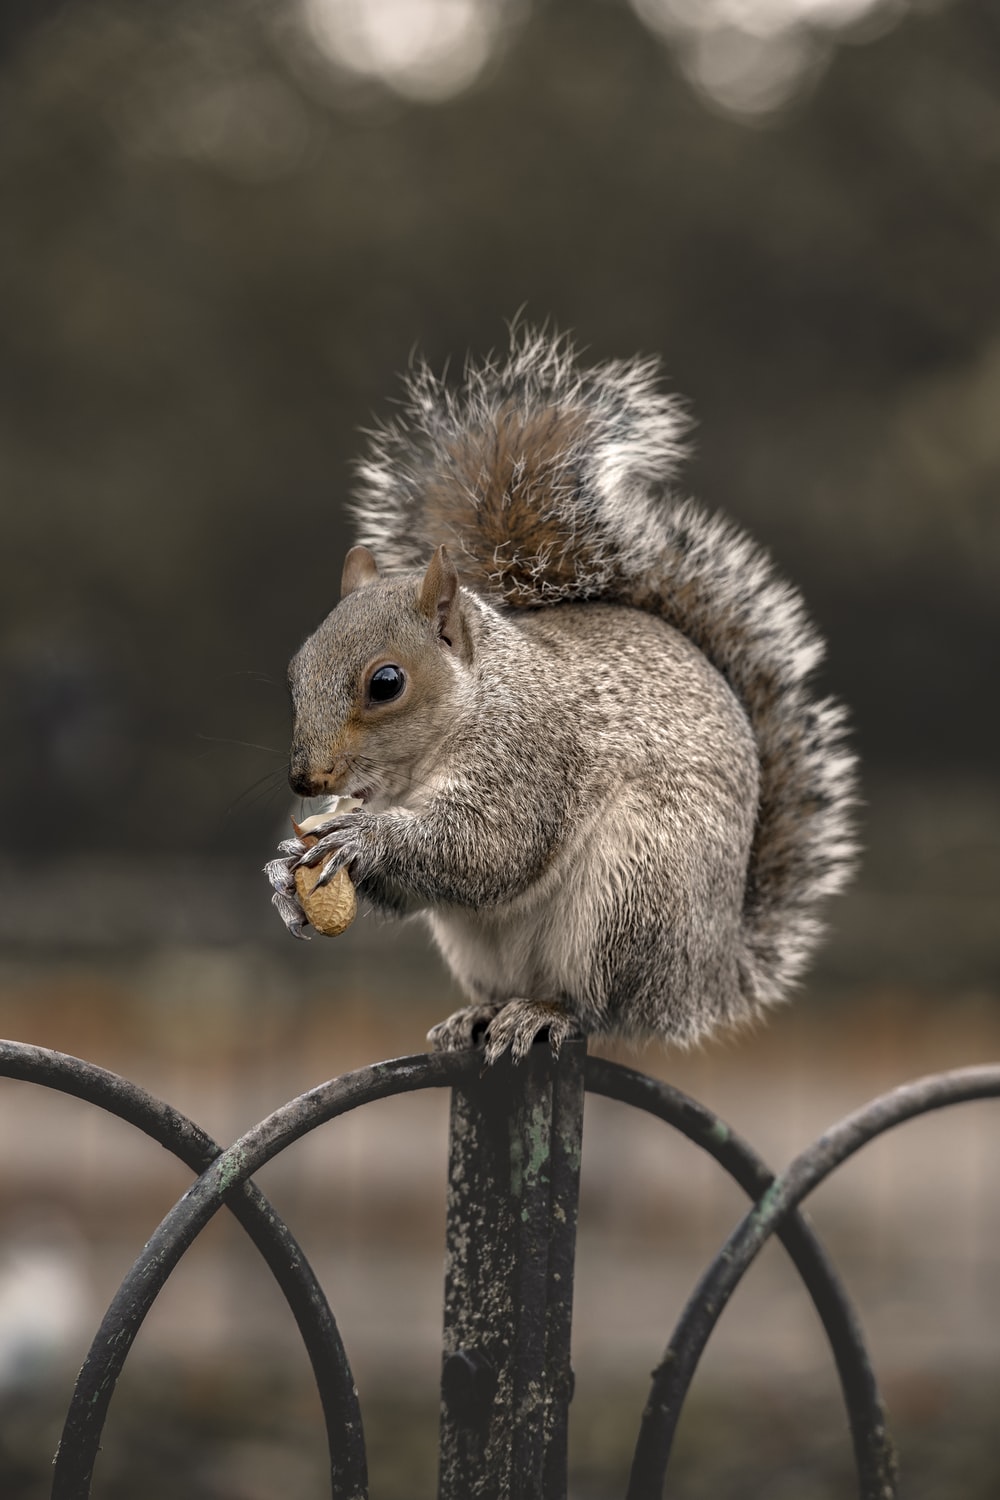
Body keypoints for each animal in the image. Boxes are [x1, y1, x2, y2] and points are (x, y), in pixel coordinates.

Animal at [265, 328, 857, 1065]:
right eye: (296, 668)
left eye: (386, 683)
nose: (304, 778)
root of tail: (709, 977)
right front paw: (285, 873)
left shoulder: (532, 755)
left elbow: (490, 846)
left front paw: (361, 835)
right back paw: (479, 1014)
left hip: (632, 895)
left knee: (601, 1006)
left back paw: (547, 1013)